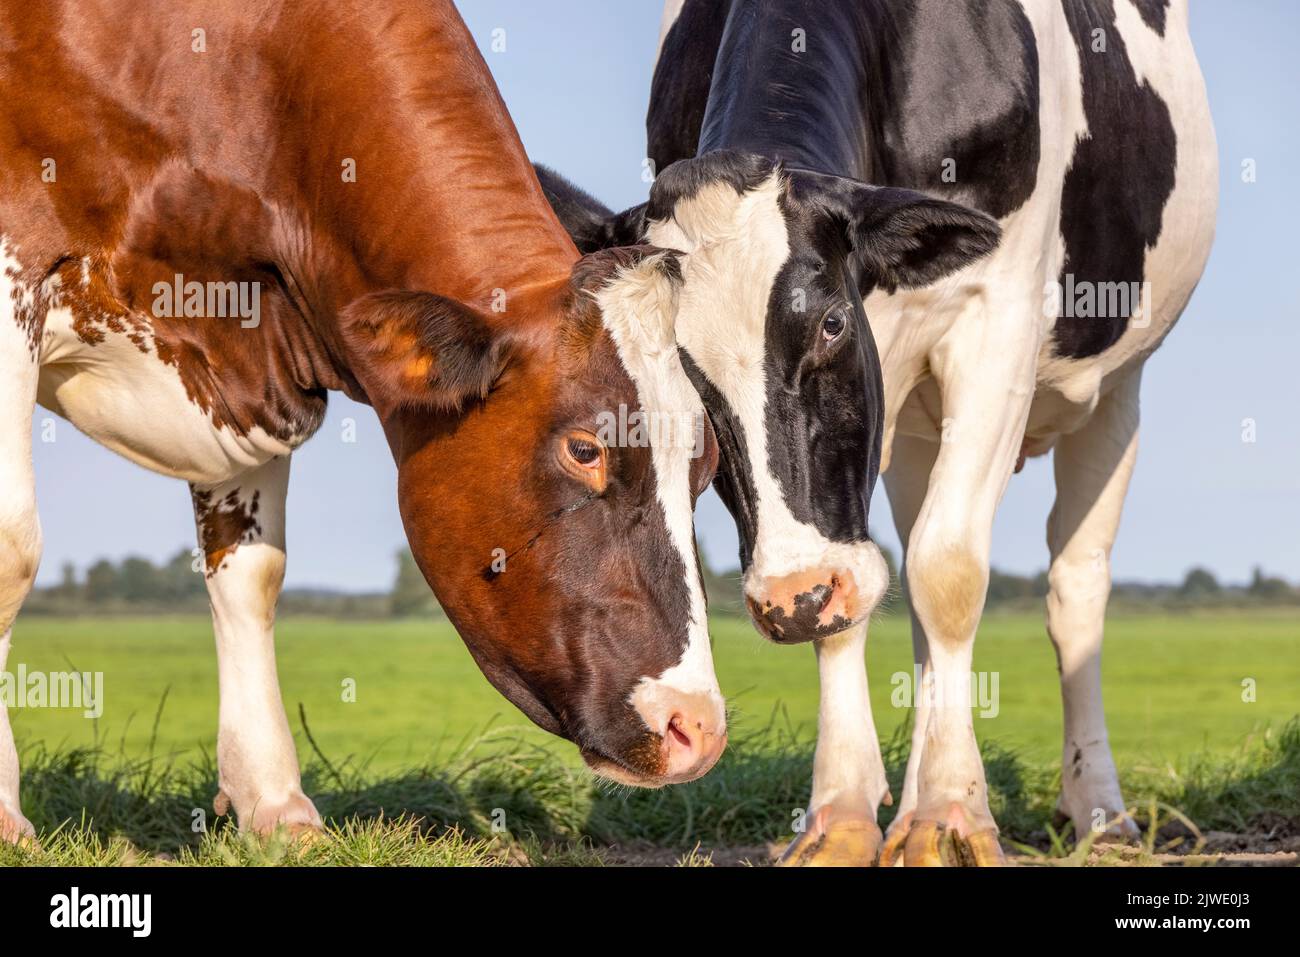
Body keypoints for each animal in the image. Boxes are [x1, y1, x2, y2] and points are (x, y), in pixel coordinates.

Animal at [0, 0, 727, 845]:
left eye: (706, 466)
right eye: (585, 449)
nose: (697, 727)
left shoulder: (243, 353)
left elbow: (251, 575)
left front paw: (275, 801)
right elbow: (16, 548)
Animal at [537, 0, 1217, 865]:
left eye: (830, 323)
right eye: (679, 373)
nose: (789, 597)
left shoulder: (999, 314)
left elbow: (950, 572)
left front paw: (949, 817)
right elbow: (860, 602)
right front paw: (846, 814)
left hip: (1116, 387)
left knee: (1074, 587)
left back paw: (1097, 809)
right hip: (913, 425)